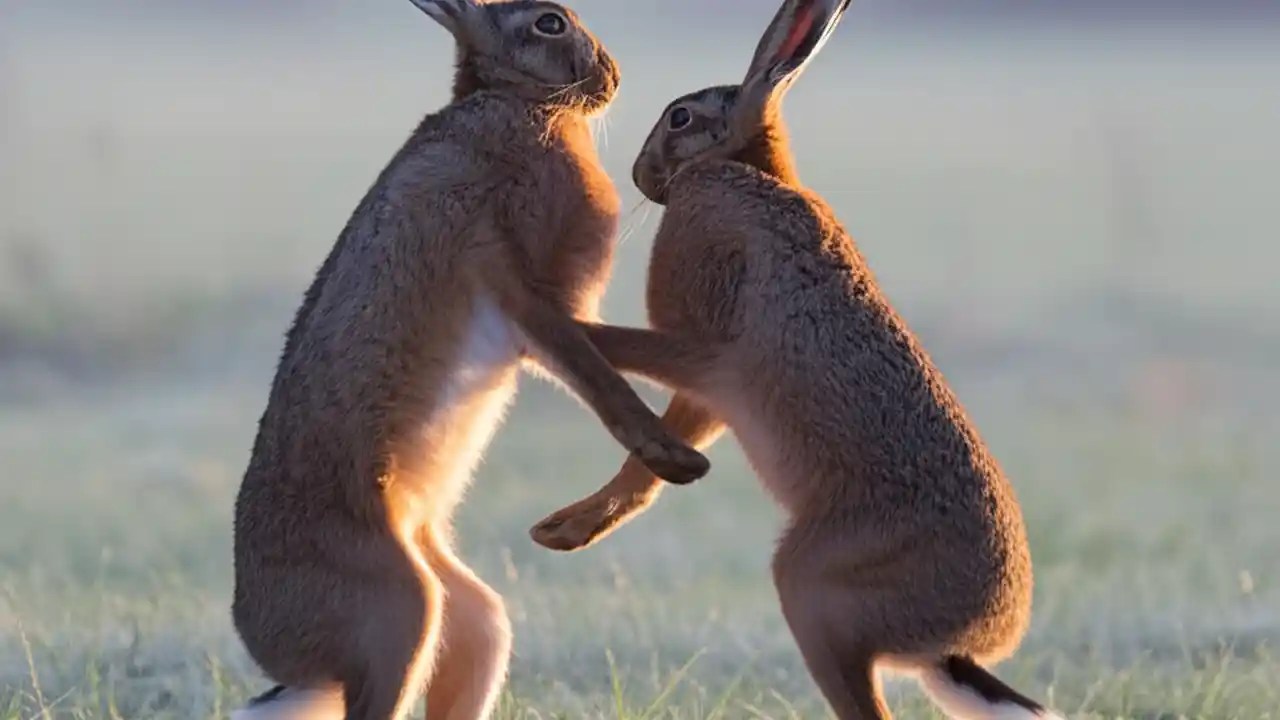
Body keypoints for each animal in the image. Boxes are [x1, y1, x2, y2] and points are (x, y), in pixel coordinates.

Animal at [231, 2, 712, 719]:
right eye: (549, 23)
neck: (514, 101)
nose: (612, 75)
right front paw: (679, 461)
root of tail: (279, 652)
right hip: (395, 613)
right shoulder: (519, 283)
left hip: (472, 619)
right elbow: (595, 374)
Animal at [528, 1, 1063, 718]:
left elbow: (612, 346)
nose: (640, 175)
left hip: (816, 591)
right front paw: (564, 531)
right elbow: (648, 464)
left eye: (680, 118)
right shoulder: (713, 396)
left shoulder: (703, 349)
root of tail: (965, 636)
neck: (748, 170)